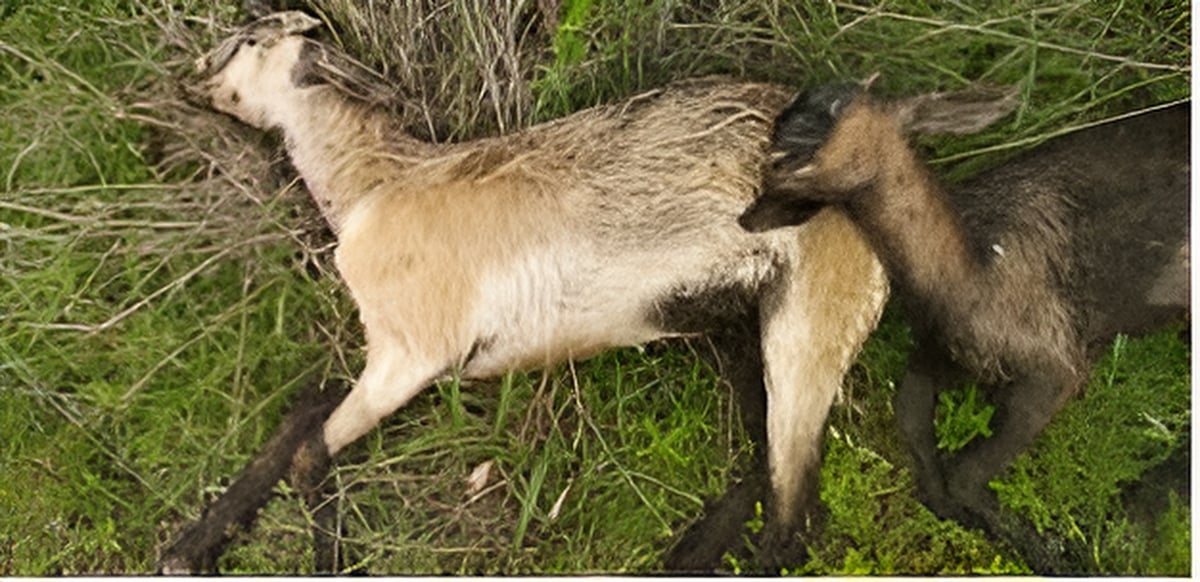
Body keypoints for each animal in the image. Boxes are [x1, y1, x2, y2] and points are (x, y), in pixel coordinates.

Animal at [740, 84, 1190, 571]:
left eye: (843, 105)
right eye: (790, 111)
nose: (780, 148)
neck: (964, 279)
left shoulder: (1056, 362)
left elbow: (965, 473)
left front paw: (1054, 554)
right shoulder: (937, 353)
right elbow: (915, 429)